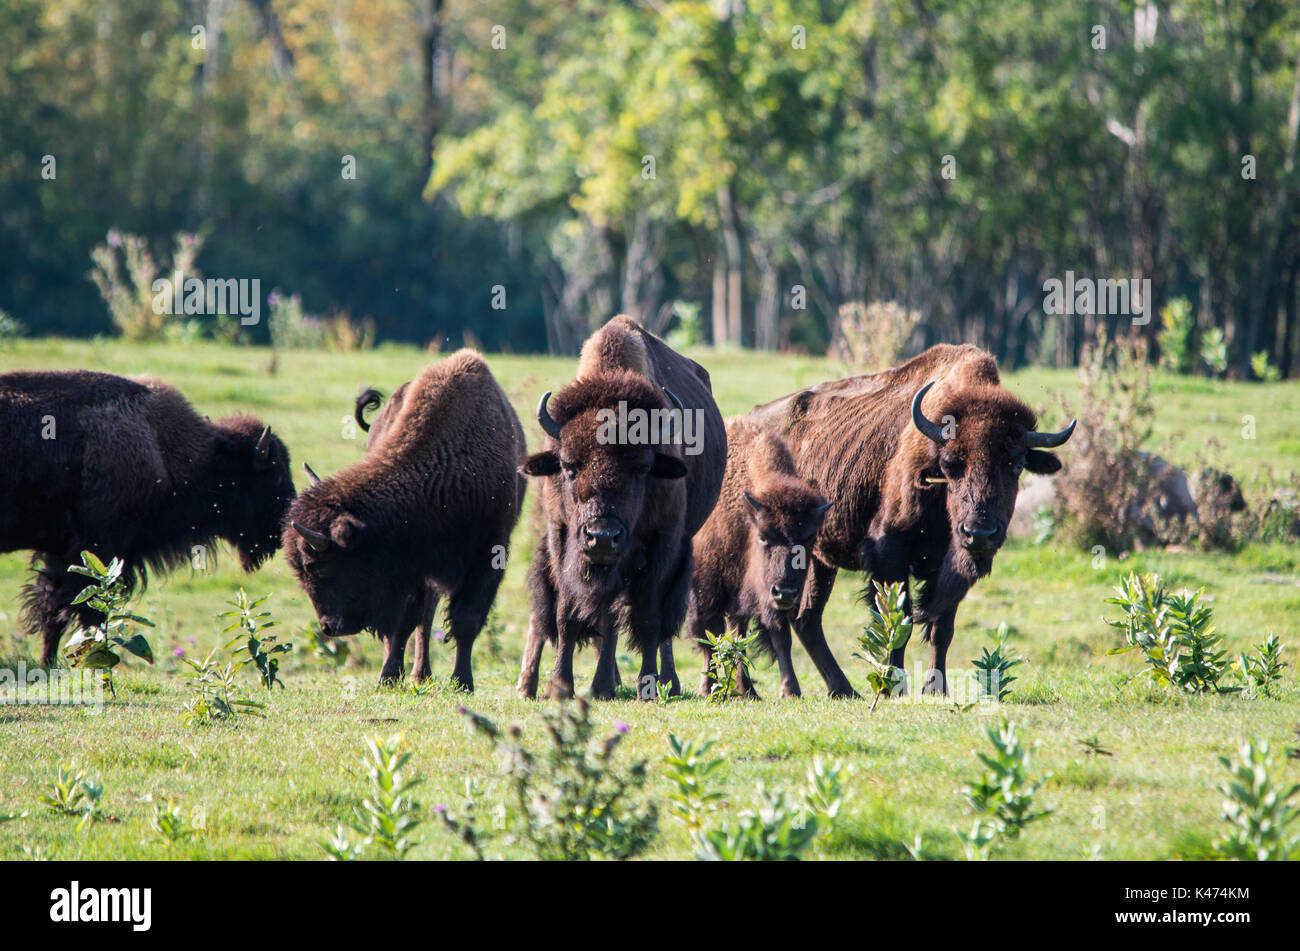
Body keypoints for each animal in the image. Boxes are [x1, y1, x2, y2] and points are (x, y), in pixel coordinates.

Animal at [0, 369, 294, 665]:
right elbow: (80, 613)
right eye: (276, 475)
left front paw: (49, 664)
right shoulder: (92, 551)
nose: (283, 530)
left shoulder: (64, 555)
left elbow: (56, 615)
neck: (160, 445)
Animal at [283, 350, 525, 689]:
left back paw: (423, 674)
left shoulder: (489, 552)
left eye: (318, 567)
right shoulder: (410, 566)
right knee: (420, 619)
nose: (329, 627)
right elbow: (404, 622)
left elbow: (466, 619)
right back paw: (416, 673)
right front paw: (388, 675)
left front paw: (463, 681)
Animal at [517, 315, 726, 700]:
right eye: (568, 466)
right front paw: (560, 687)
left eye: (642, 469)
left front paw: (648, 685)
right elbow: (567, 613)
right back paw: (606, 683)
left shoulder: (661, 543)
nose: (602, 537)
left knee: (659, 623)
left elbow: (649, 618)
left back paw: (664, 682)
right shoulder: (562, 538)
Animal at [687, 417, 830, 698]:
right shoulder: (706, 589)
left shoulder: (760, 595)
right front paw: (708, 688)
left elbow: (767, 637)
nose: (786, 592)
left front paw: (784, 690)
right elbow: (710, 637)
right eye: (764, 537)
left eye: (809, 539)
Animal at [750, 344, 1075, 695]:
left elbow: (942, 627)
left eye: (1015, 463)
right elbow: (898, 620)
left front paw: (935, 689)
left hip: (818, 560)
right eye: (949, 464)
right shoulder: (889, 554)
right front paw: (893, 687)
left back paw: (843, 689)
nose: (979, 532)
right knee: (782, 618)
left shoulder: (952, 571)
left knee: (806, 618)